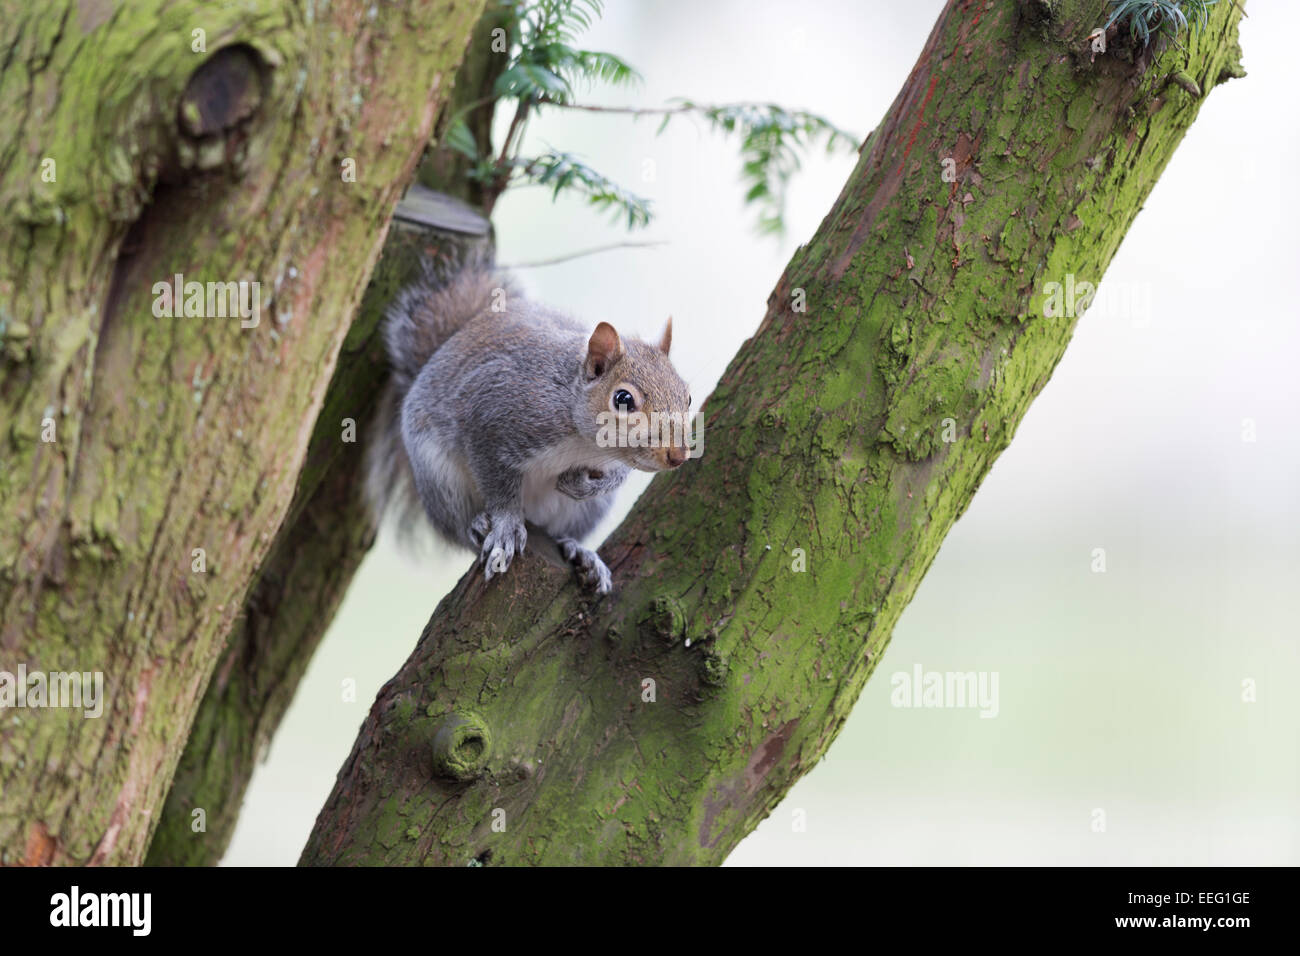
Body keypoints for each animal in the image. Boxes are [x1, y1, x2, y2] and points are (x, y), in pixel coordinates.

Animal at [365, 253, 693, 594]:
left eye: (688, 397)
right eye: (623, 399)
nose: (678, 455)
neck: (584, 440)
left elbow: (616, 475)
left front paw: (583, 484)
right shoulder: (493, 419)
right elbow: (499, 484)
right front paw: (507, 526)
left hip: (585, 512)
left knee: (560, 532)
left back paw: (579, 550)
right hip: (439, 478)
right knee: (457, 528)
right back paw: (477, 524)